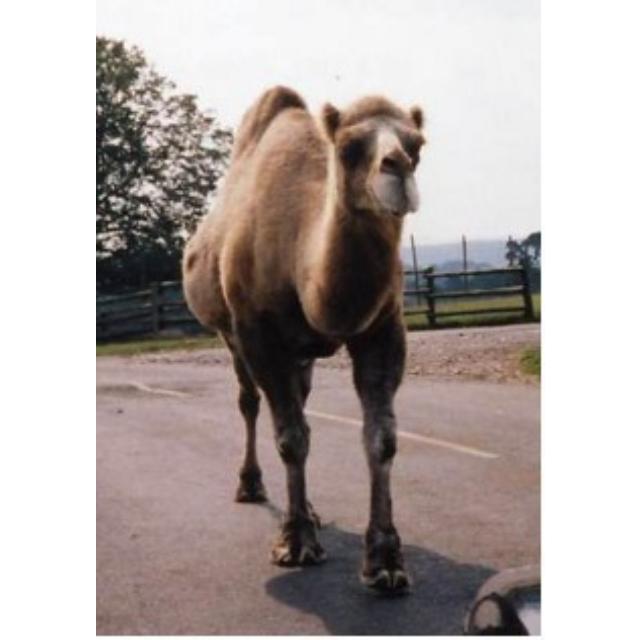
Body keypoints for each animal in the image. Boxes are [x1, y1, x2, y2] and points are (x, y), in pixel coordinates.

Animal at [182, 86, 425, 592]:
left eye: (417, 144)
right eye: (348, 147)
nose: (397, 168)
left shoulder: (383, 327)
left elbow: (382, 438)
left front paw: (386, 560)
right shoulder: (257, 332)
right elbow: (291, 438)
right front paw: (295, 544)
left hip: (302, 353)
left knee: (300, 399)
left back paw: (310, 510)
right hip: (229, 333)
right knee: (250, 402)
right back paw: (251, 485)